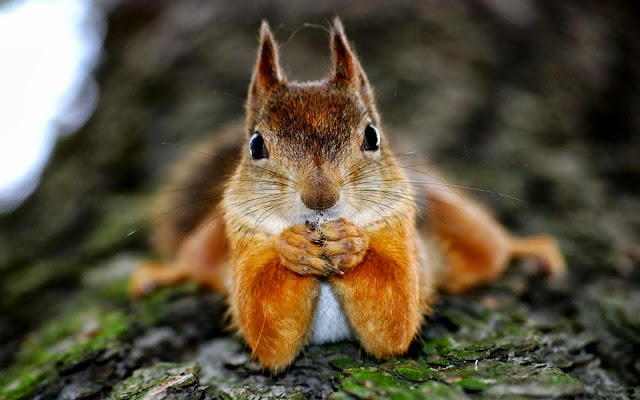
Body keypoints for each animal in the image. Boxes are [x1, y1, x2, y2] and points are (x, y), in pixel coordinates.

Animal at [130, 17, 566, 373]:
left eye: (372, 136)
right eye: (255, 145)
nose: (320, 198)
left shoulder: (401, 235)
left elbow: (395, 317)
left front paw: (351, 244)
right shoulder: (244, 239)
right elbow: (267, 330)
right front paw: (292, 248)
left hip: (457, 224)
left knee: (491, 249)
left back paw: (530, 248)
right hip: (209, 243)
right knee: (194, 261)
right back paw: (161, 273)